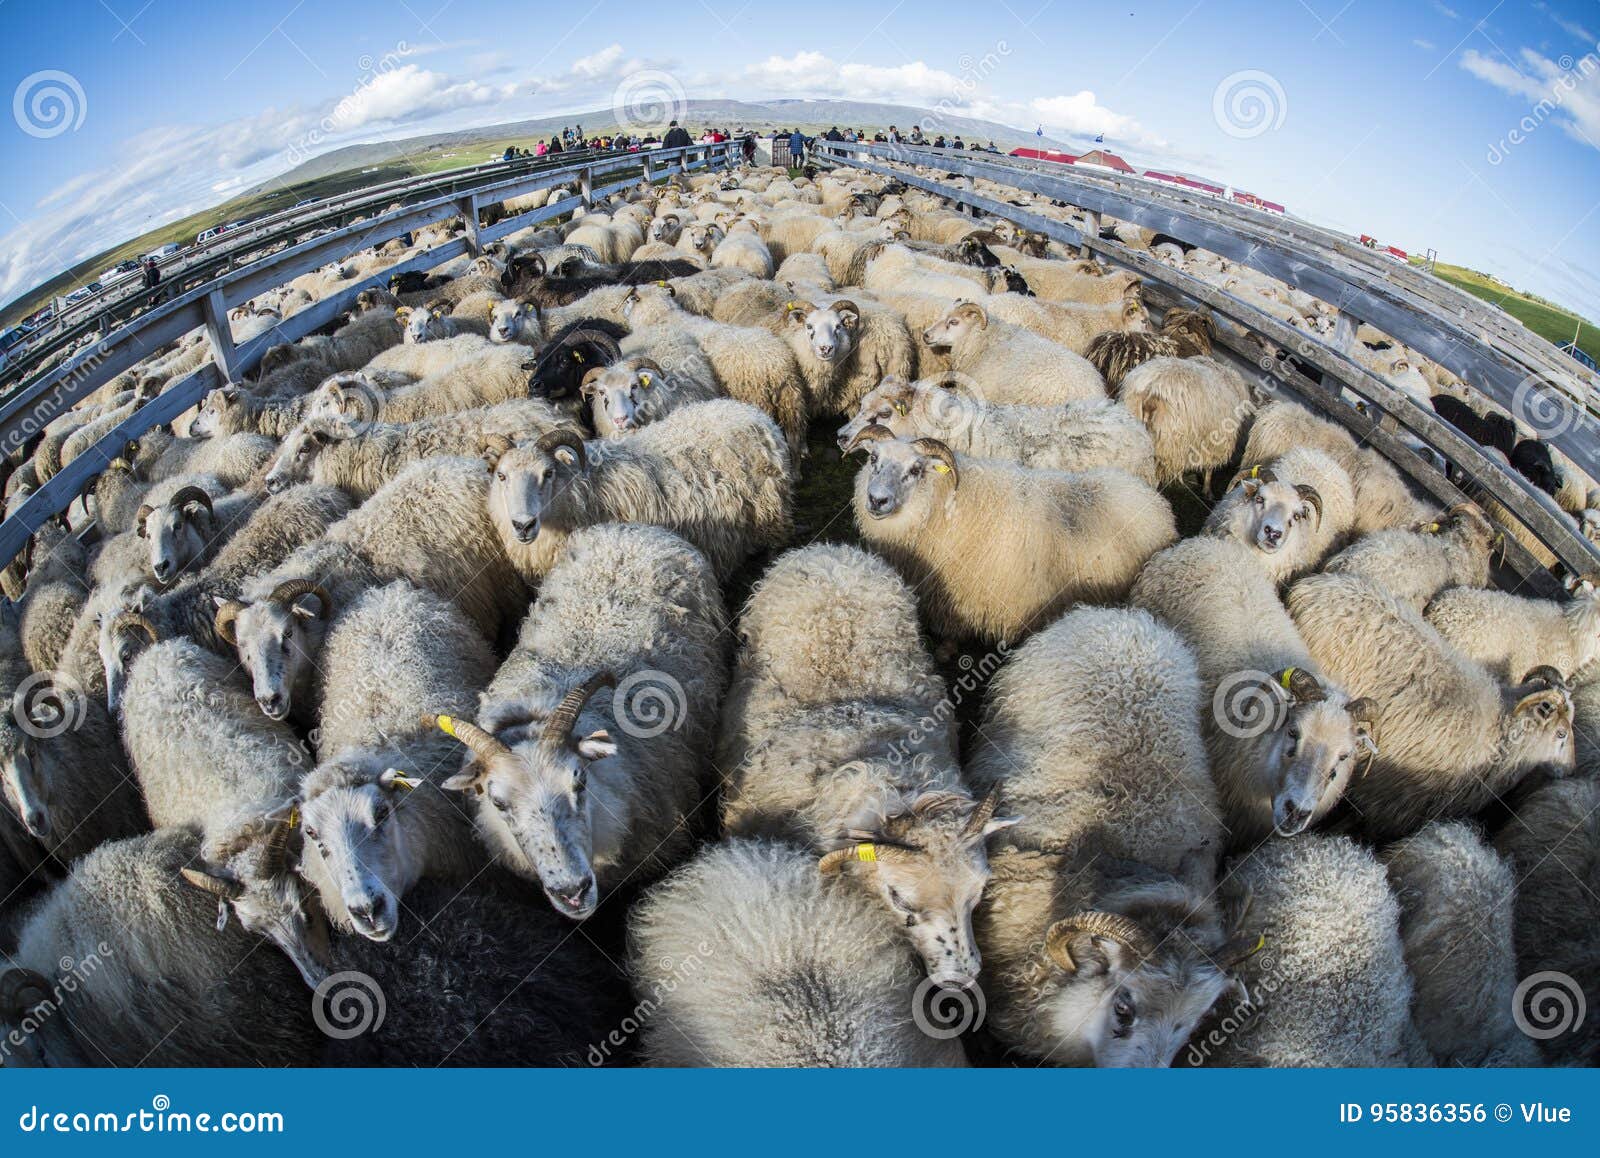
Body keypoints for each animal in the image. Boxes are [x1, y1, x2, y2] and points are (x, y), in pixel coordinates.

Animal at [621, 284, 809, 455]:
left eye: (630, 301)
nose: (623, 312)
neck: (663, 315)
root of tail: (776, 367)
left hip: (758, 399)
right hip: (792, 405)